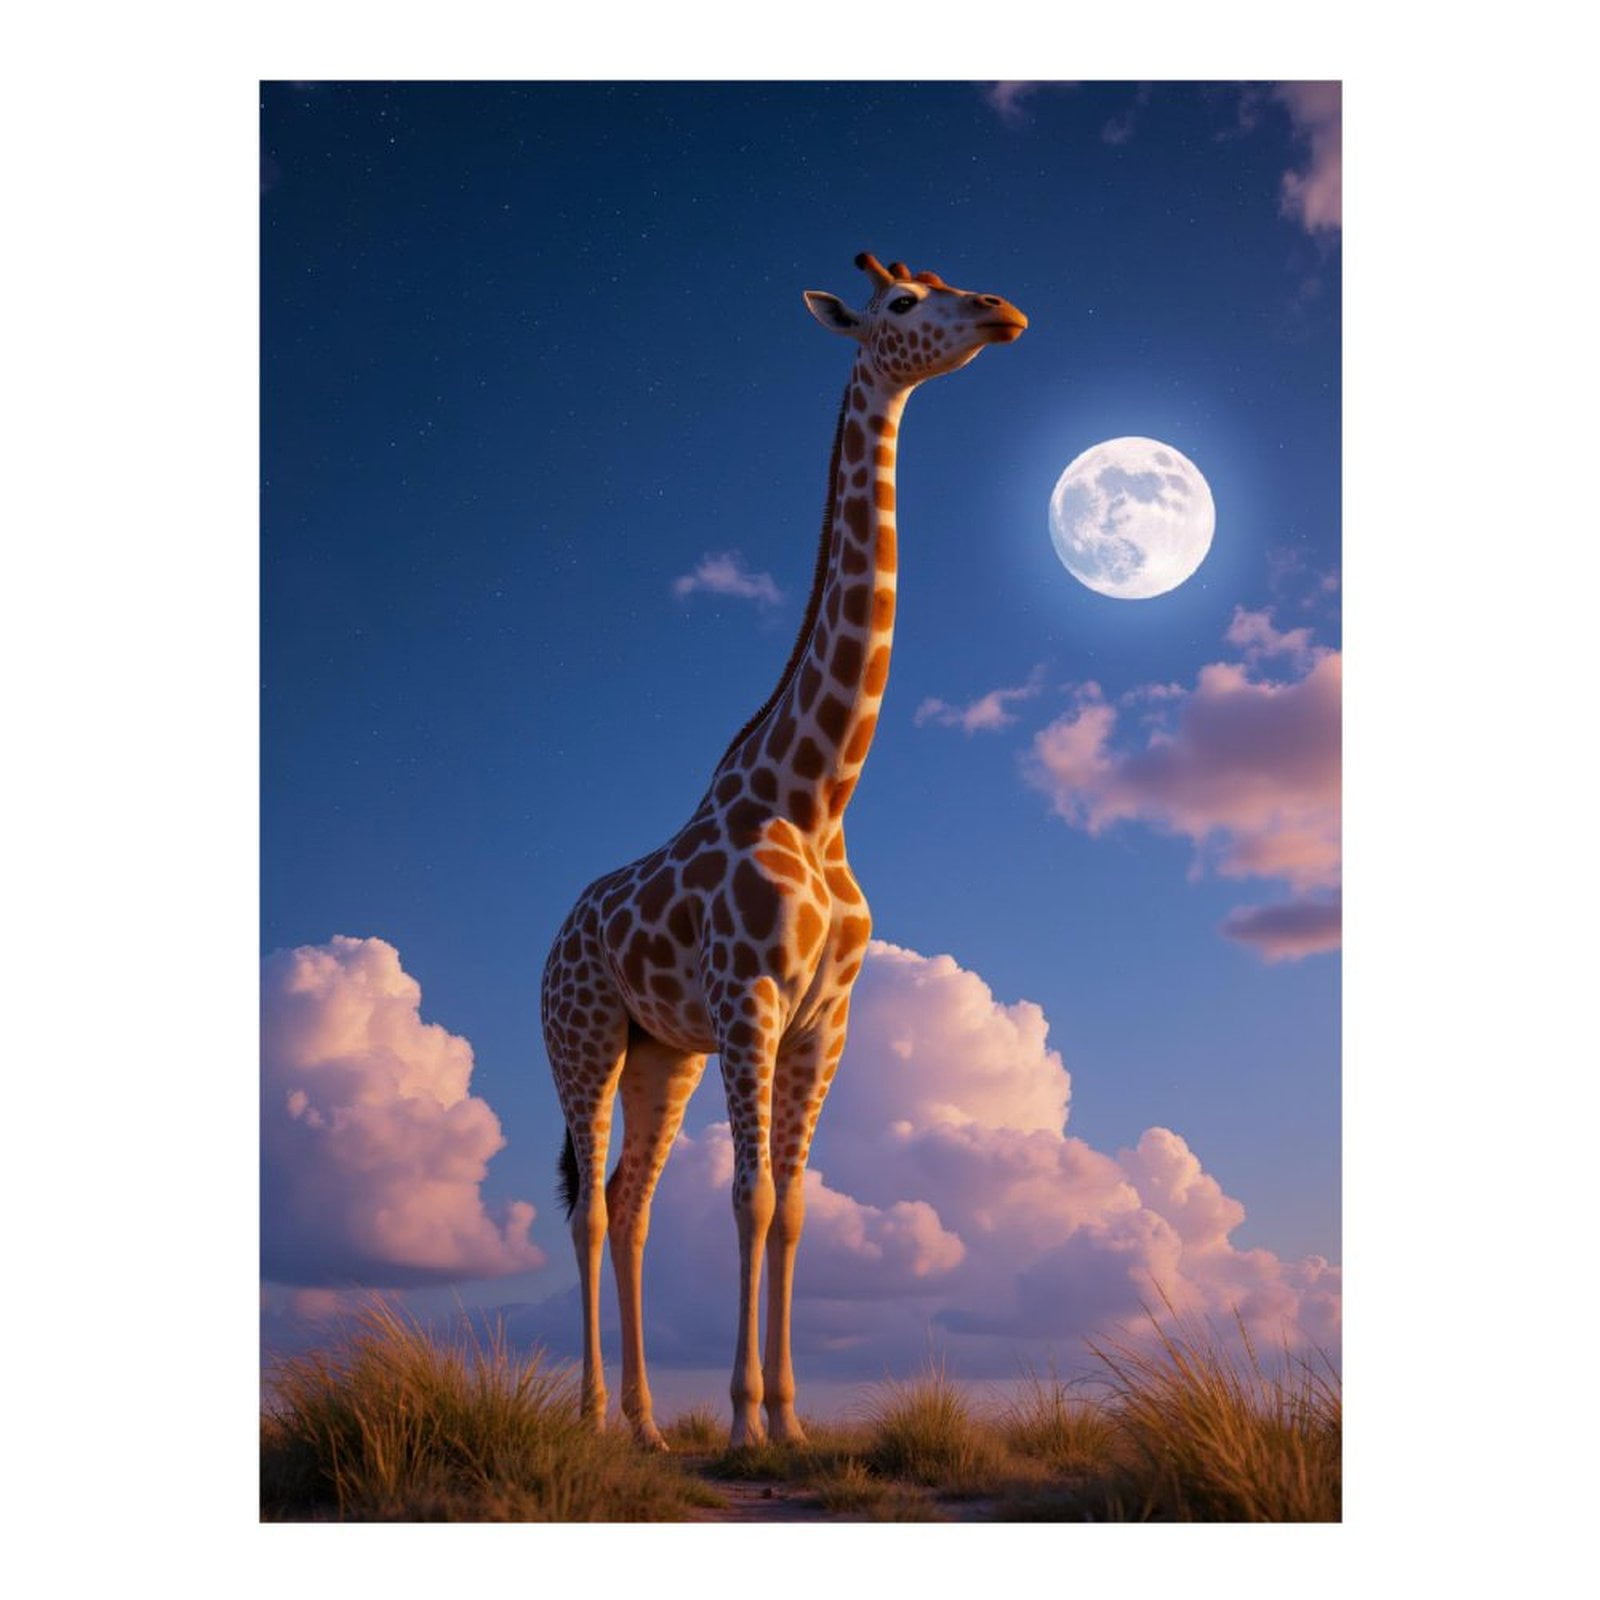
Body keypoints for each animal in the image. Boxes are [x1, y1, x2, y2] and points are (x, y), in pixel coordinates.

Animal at [541, 251, 1027, 1448]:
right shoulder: (750, 998)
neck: (815, 798)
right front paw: (745, 1422)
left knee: (627, 1200)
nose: (1003, 312)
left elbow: (799, 1209)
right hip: (583, 1038)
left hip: (660, 1052)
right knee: (584, 1214)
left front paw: (791, 1421)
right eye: (903, 301)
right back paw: (592, 1417)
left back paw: (647, 1425)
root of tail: (556, 936)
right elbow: (751, 1196)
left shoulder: (824, 1016)